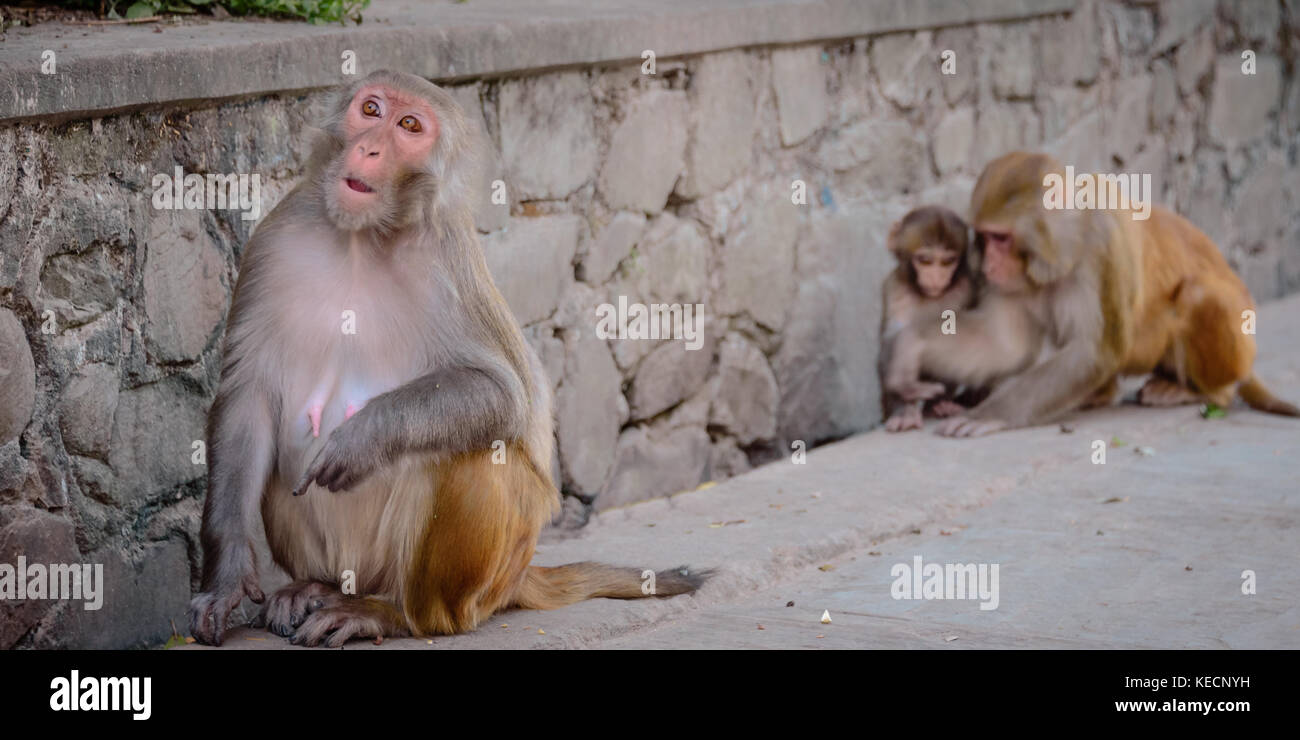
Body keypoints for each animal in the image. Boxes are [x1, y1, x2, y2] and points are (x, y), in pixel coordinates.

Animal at [189, 70, 706, 648]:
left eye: (410, 126)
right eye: (371, 110)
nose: (370, 148)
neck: (361, 239)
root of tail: (519, 576)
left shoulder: (446, 259)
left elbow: (501, 394)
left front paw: (363, 437)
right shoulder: (274, 238)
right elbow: (248, 397)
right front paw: (227, 579)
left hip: (488, 570)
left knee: (469, 456)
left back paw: (390, 613)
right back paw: (317, 587)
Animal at [937, 151, 1298, 438]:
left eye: (1000, 238)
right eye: (983, 237)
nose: (988, 266)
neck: (1065, 252)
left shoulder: (1102, 242)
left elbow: (1095, 351)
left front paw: (990, 413)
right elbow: (1002, 343)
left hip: (1238, 339)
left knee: (1196, 294)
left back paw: (1206, 394)